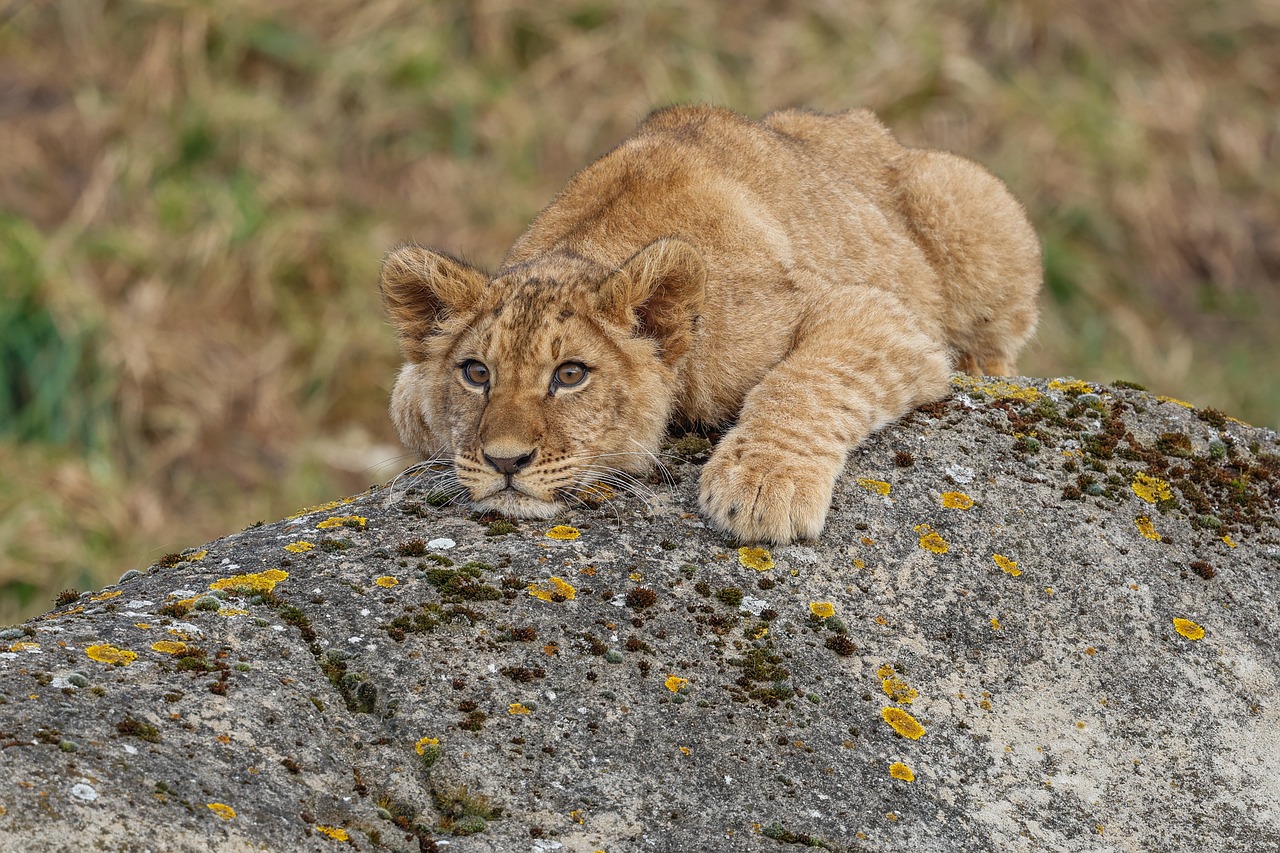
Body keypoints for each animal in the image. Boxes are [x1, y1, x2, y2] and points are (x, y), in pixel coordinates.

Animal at [380, 105, 1040, 543]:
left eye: (570, 375)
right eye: (475, 373)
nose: (505, 463)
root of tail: (866, 126)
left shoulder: (876, 313)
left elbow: (809, 379)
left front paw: (764, 485)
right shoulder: (409, 386)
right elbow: (412, 406)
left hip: (964, 200)